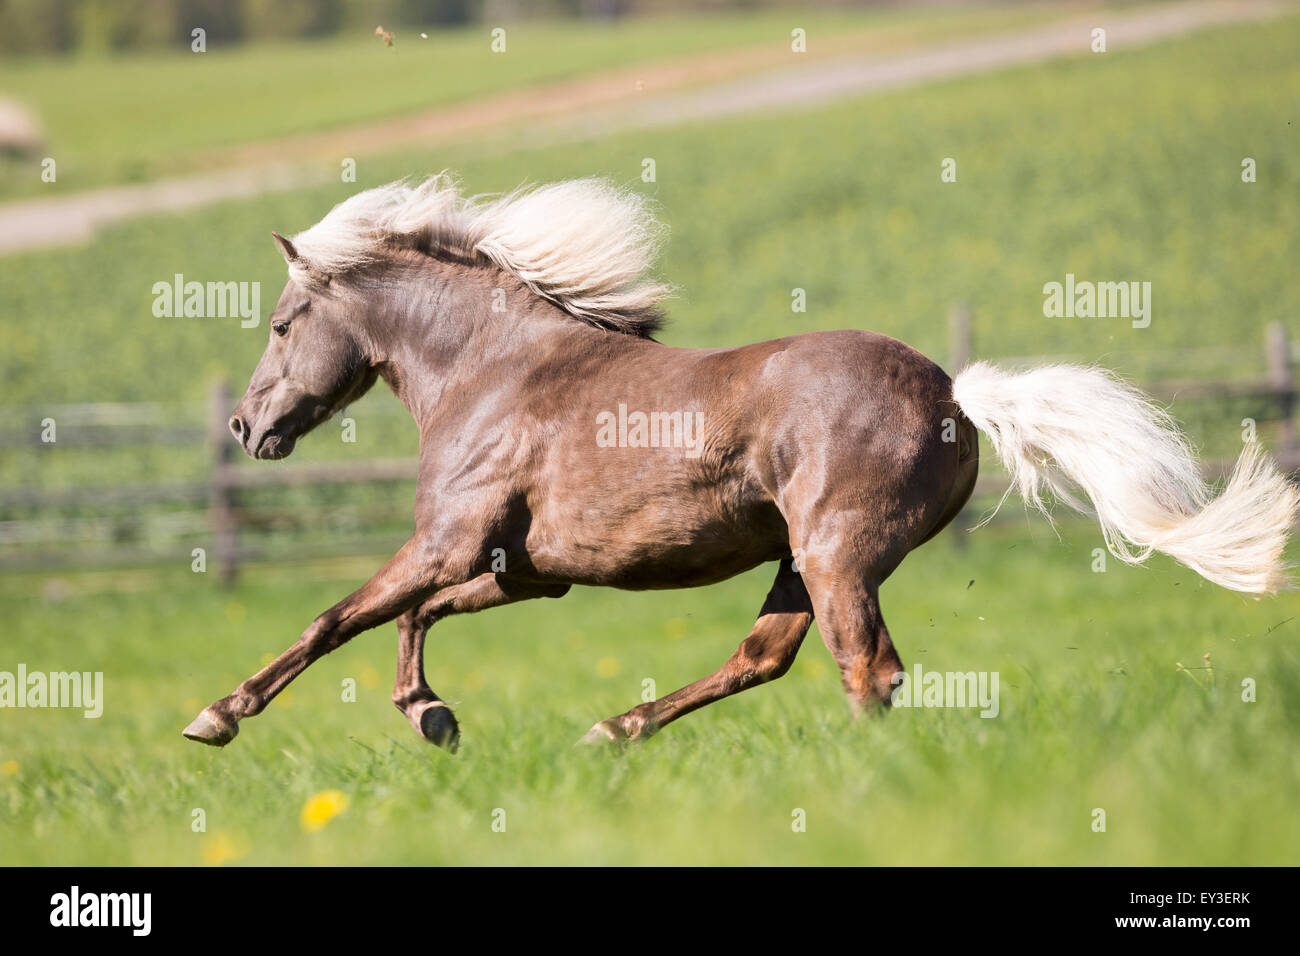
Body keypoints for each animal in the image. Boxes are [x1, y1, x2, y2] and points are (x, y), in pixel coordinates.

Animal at [182, 175, 1299, 751]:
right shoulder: (525, 571)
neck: (491, 370)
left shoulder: (448, 538)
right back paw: (614, 730)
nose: (245, 427)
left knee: (865, 666)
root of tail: (954, 393)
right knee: (768, 655)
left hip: (837, 549)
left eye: (281, 323)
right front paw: (434, 719)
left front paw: (218, 715)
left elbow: (334, 619)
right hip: (799, 558)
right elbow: (411, 617)